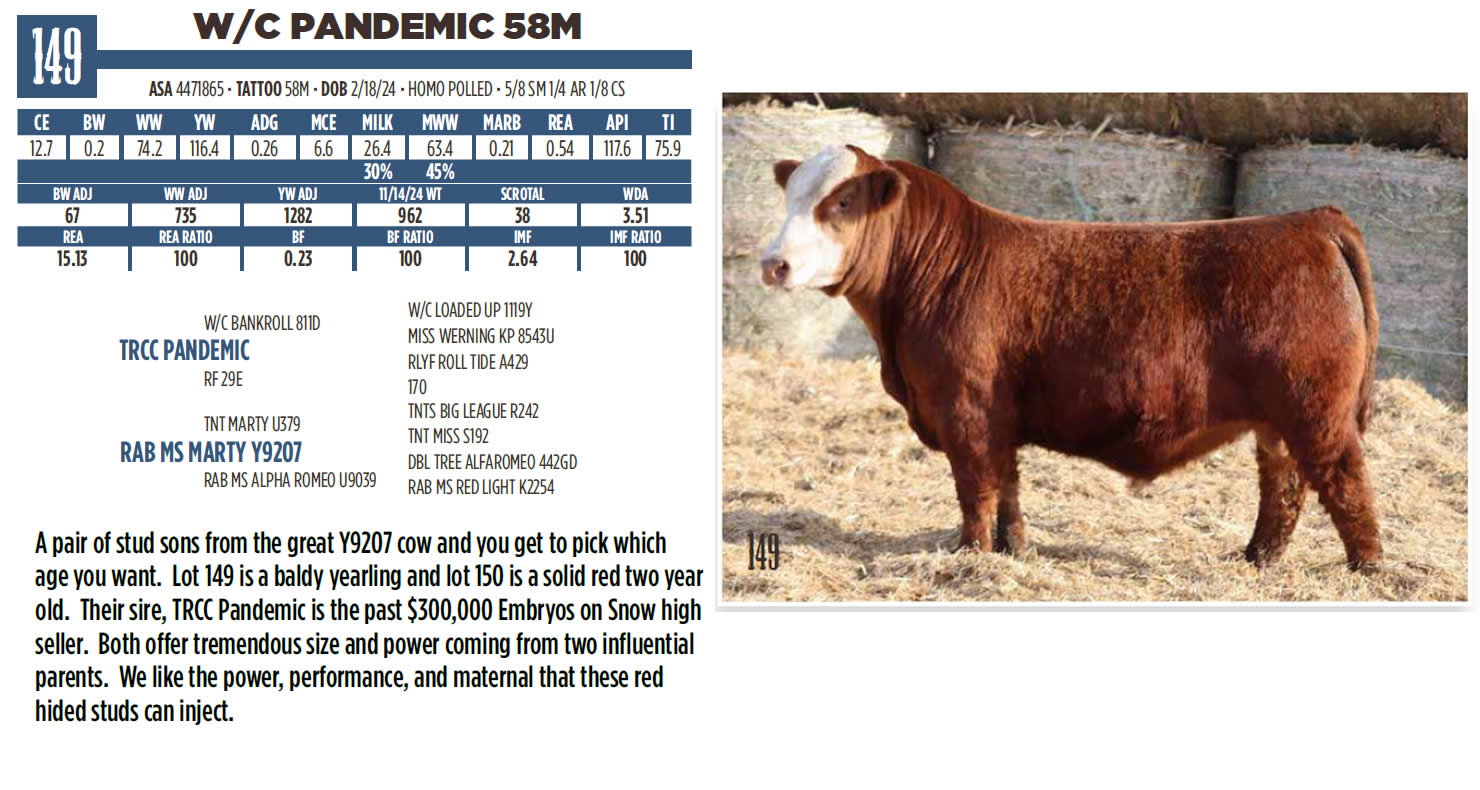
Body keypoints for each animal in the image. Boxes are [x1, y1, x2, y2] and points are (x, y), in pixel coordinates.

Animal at [760, 144, 1382, 570]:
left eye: (842, 202)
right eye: (789, 199)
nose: (773, 263)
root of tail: (1311, 220)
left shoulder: (965, 409)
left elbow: (975, 491)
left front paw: (970, 556)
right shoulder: (998, 418)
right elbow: (1006, 488)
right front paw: (1012, 552)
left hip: (1316, 411)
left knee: (1345, 481)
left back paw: (1366, 568)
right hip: (1277, 420)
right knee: (1283, 486)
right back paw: (1254, 558)